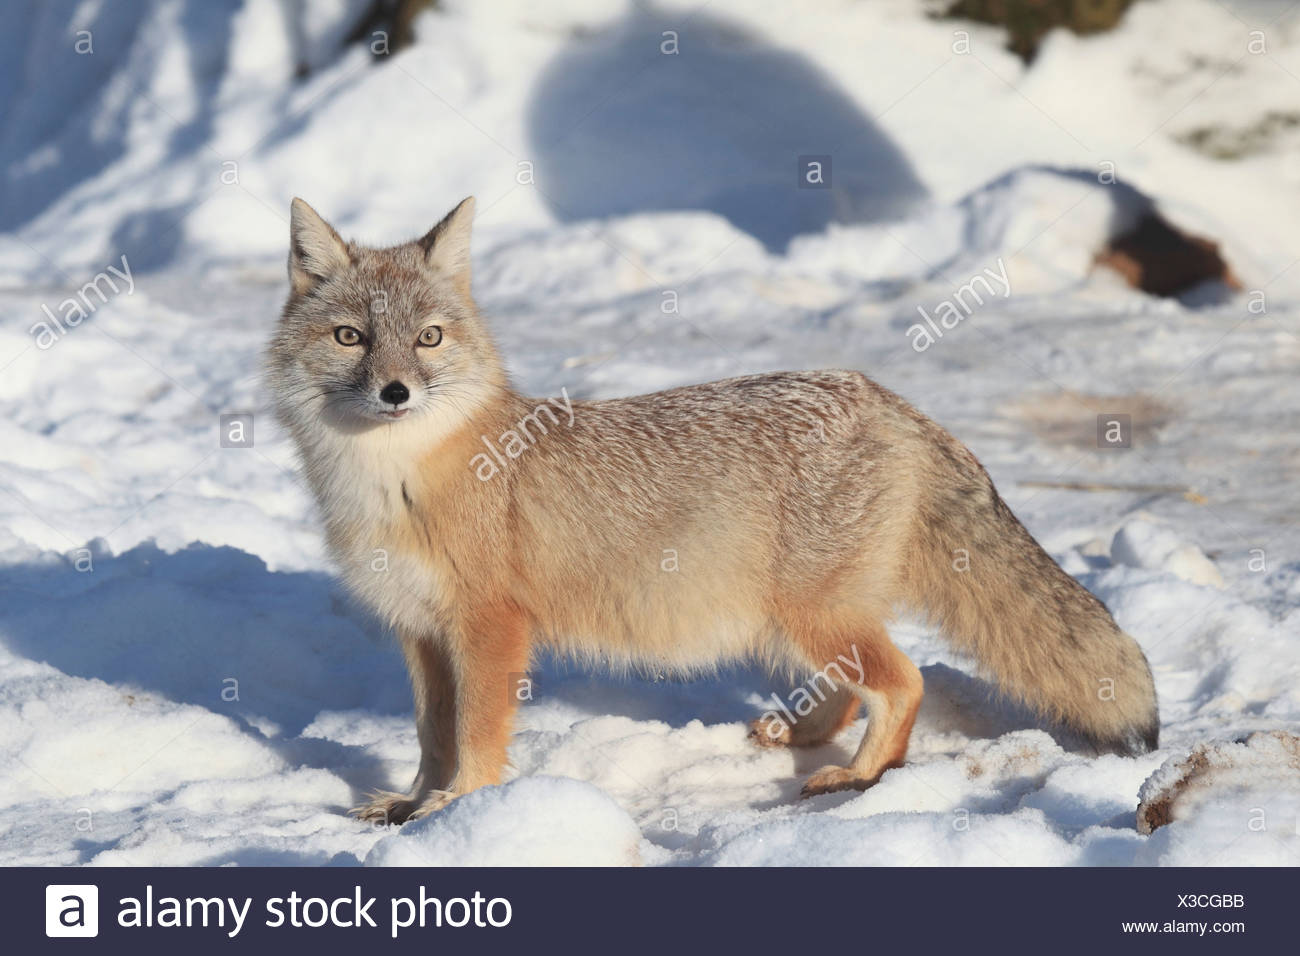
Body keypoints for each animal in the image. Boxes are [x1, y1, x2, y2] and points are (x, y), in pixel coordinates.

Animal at [266, 196, 1159, 823]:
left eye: (429, 339)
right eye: (350, 338)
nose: (396, 392)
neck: (391, 483)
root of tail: (883, 395)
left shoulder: (488, 628)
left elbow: (476, 738)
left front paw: (459, 811)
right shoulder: (421, 632)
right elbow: (431, 736)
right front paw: (415, 805)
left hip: (808, 614)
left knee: (903, 681)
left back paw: (862, 774)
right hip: (790, 620)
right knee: (852, 686)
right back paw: (803, 738)